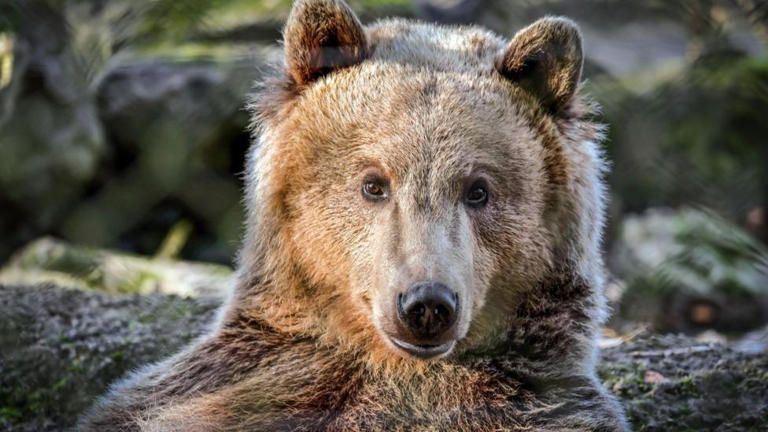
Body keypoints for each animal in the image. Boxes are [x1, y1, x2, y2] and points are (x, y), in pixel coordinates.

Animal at [79, 0, 629, 430]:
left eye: (478, 190)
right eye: (374, 184)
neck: (394, 367)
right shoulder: (237, 384)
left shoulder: (536, 405)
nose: (426, 304)